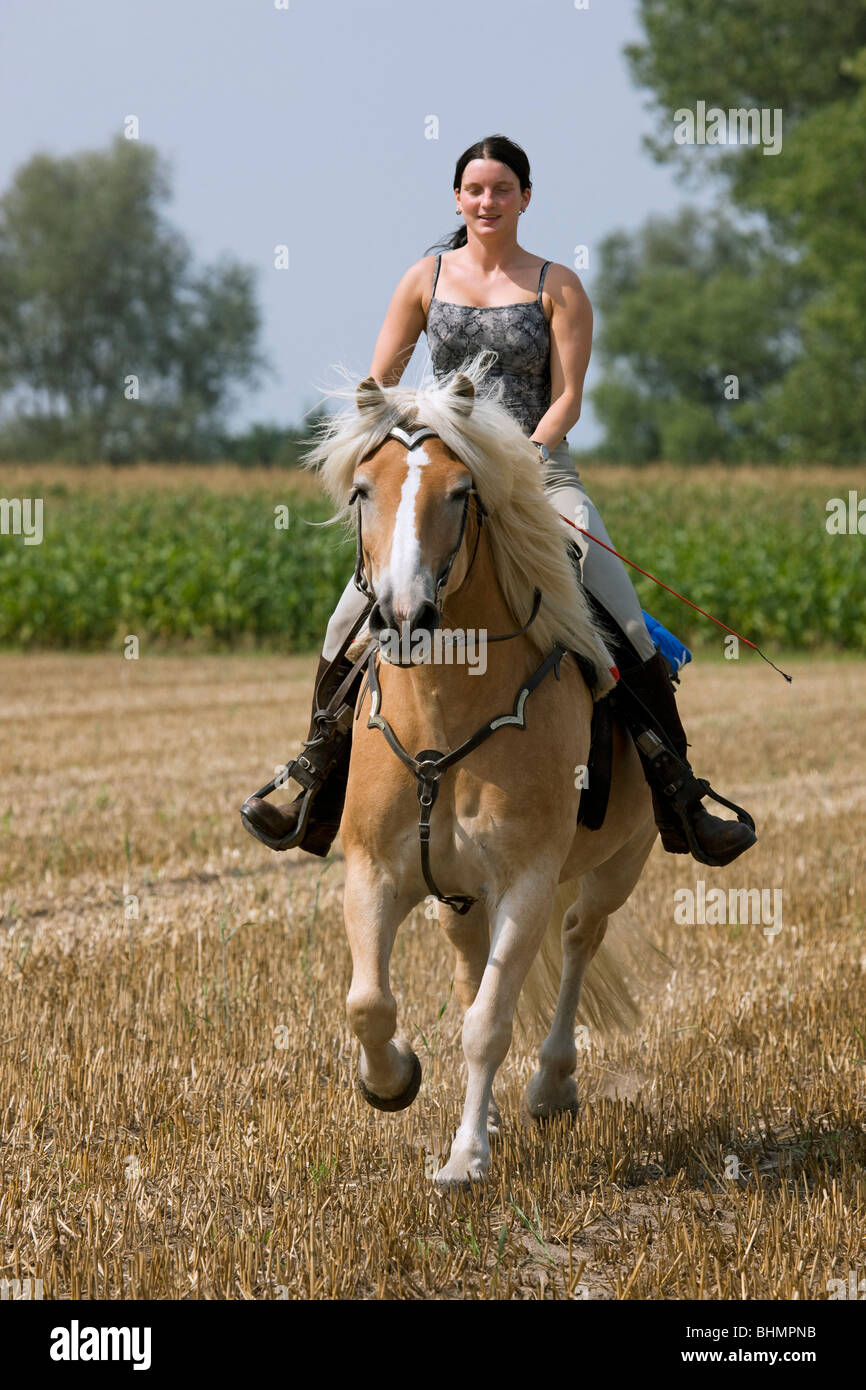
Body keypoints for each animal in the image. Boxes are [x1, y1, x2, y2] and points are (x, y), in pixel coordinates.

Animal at [302, 356, 659, 1189]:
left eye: (461, 493)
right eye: (362, 491)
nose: (404, 617)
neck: (444, 717)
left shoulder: (525, 883)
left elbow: (488, 1023)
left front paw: (466, 1159)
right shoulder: (374, 872)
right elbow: (368, 1001)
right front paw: (391, 1080)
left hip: (617, 864)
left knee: (579, 939)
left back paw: (551, 1086)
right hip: (458, 896)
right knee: (470, 968)